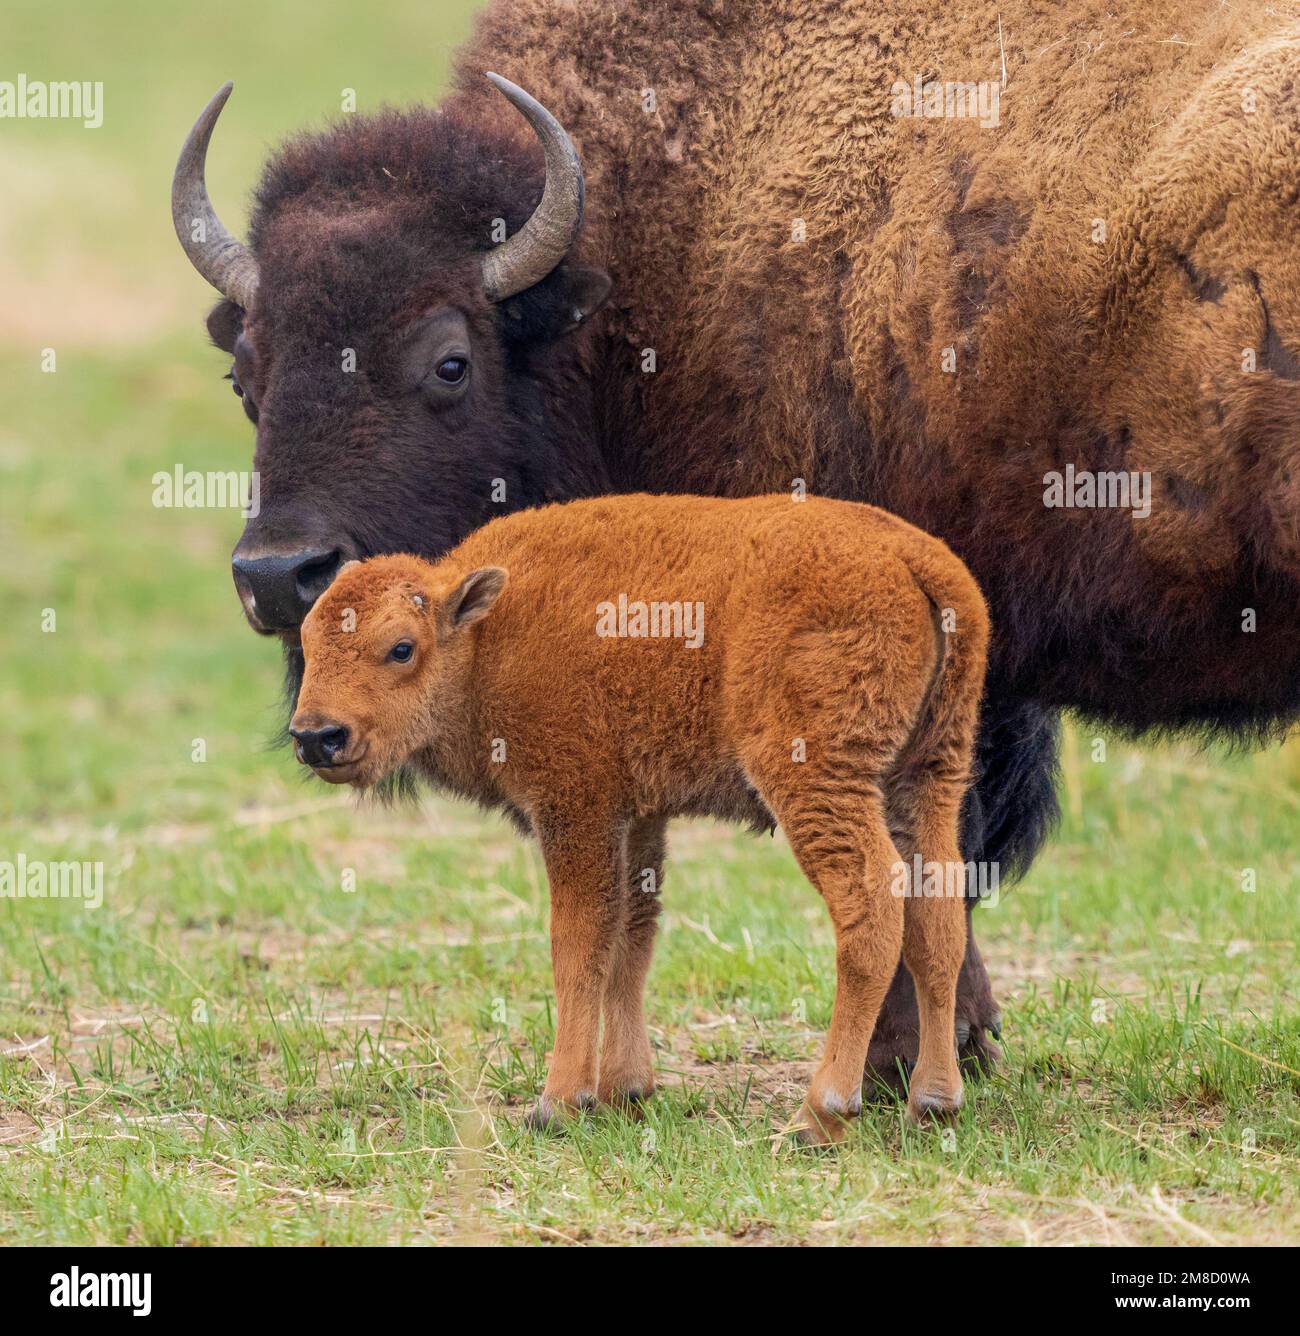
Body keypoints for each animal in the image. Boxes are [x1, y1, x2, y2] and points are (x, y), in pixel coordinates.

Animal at [289, 493, 989, 1142]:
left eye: (401, 648)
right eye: (308, 640)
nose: (317, 736)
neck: (485, 634)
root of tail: (916, 559)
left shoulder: (576, 806)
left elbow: (579, 942)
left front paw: (558, 1102)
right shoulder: (639, 817)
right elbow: (632, 934)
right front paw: (625, 1090)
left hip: (815, 778)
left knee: (870, 905)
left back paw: (821, 1112)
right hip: (928, 774)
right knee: (937, 913)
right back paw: (935, 1100)